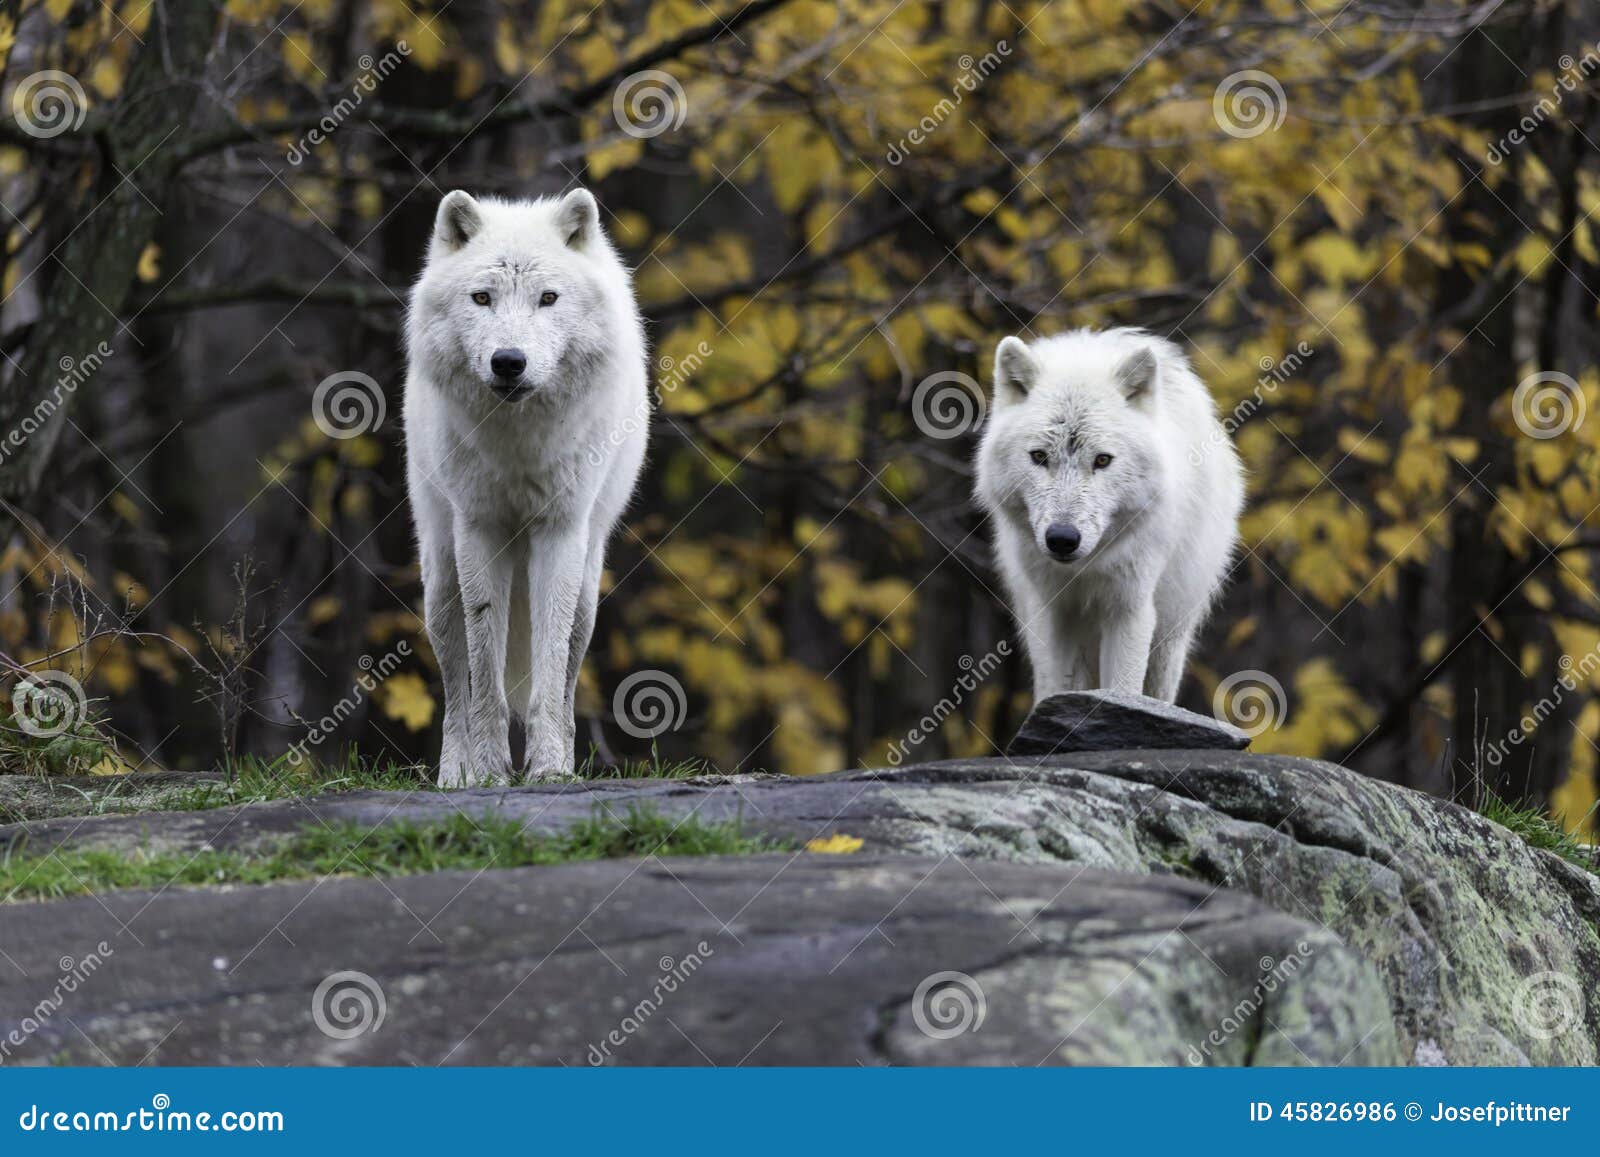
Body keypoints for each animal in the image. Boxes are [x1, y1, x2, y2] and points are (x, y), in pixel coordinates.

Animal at [404, 188, 648, 786]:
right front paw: (490, 773)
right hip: (440, 577)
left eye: (548, 299)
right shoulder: (480, 529)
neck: (520, 442)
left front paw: (549, 770)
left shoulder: (560, 532)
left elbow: (547, 669)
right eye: (482, 298)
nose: (508, 362)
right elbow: (484, 675)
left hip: (587, 588)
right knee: (456, 685)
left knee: (567, 673)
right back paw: (455, 773)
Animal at [974, 328, 1243, 703]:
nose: (1062, 539)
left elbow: (1123, 689)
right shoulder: (1056, 612)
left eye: (1102, 460)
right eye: (1039, 456)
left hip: (1171, 636)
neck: (1084, 571)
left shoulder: (1129, 608)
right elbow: (1058, 687)